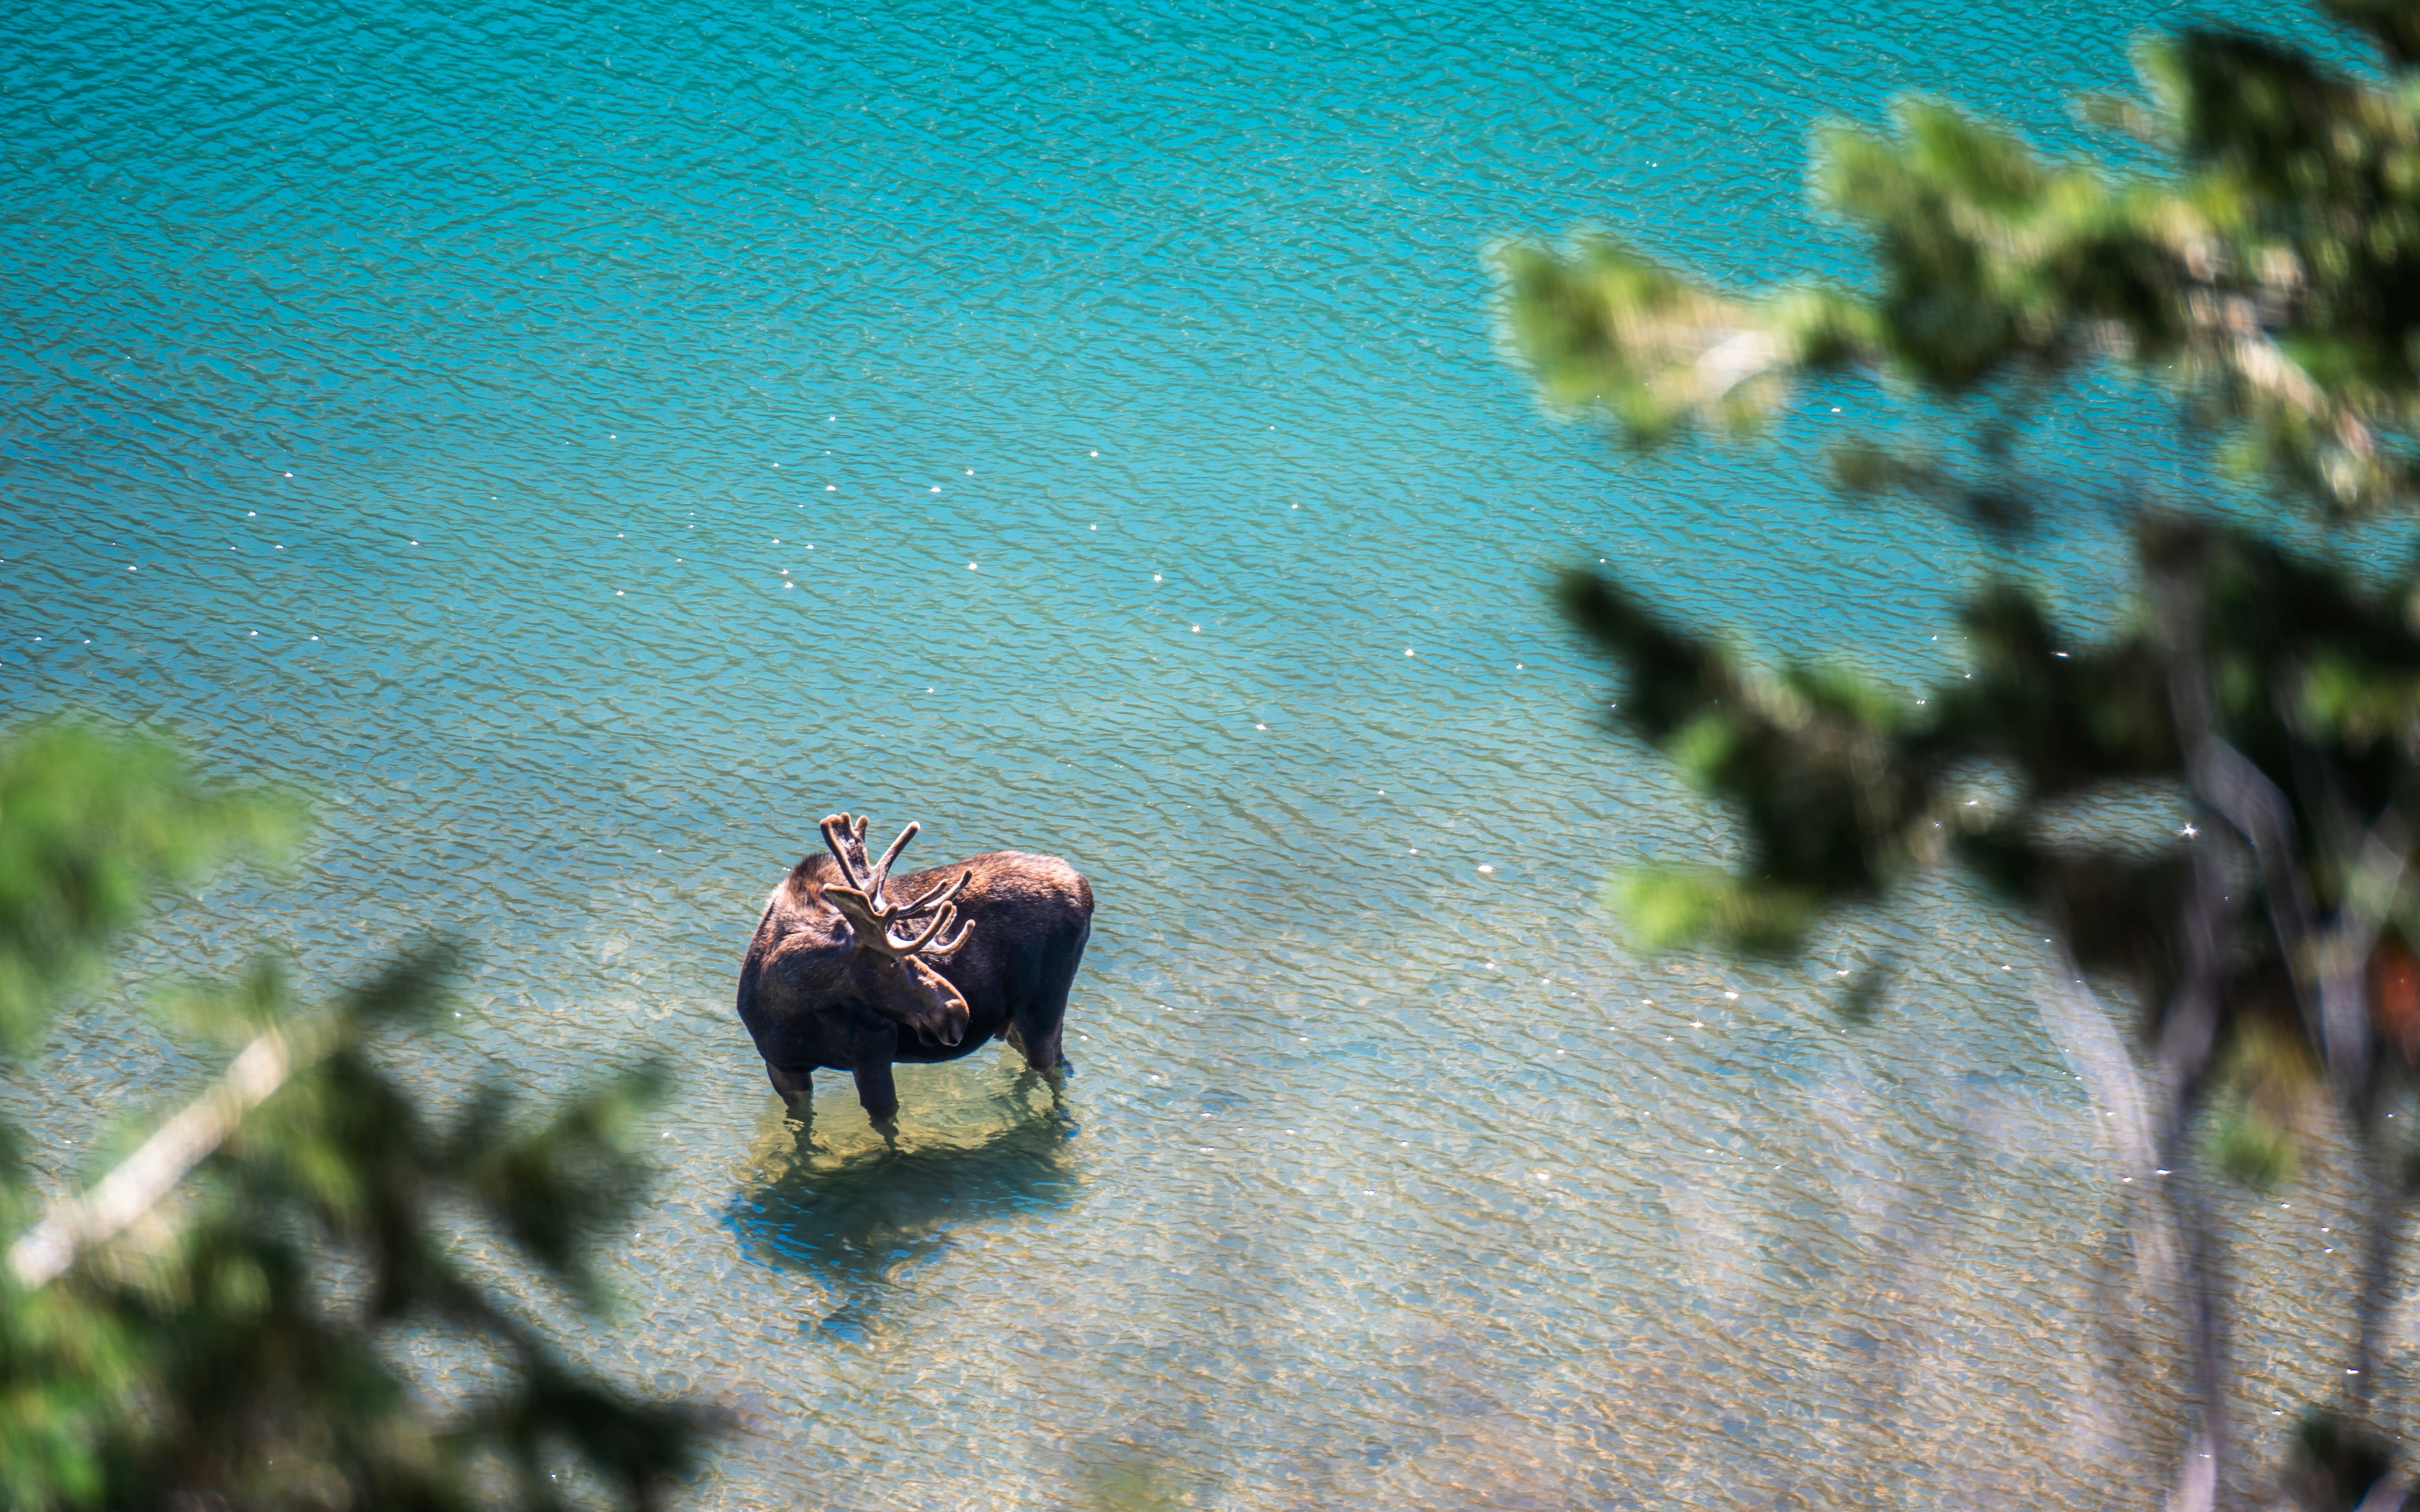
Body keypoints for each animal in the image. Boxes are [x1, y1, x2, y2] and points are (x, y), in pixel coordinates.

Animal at [735, 813, 1094, 1124]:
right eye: (895, 961)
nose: (959, 1012)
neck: (790, 1009)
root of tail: (1085, 888)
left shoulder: (874, 1053)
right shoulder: (782, 1067)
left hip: (1043, 1010)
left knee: (1054, 1066)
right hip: (1016, 1022)